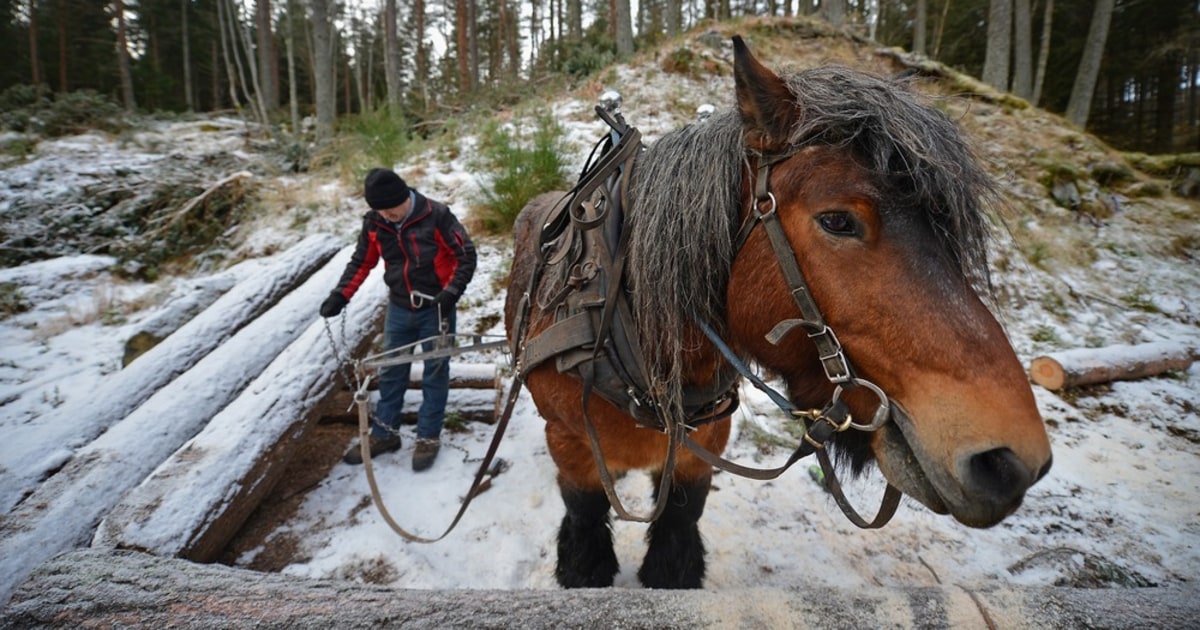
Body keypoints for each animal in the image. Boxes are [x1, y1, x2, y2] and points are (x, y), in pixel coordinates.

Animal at [503, 35, 1052, 589]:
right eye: (837, 220)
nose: (1011, 462)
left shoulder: (704, 445)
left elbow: (678, 526)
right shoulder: (570, 446)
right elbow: (586, 521)